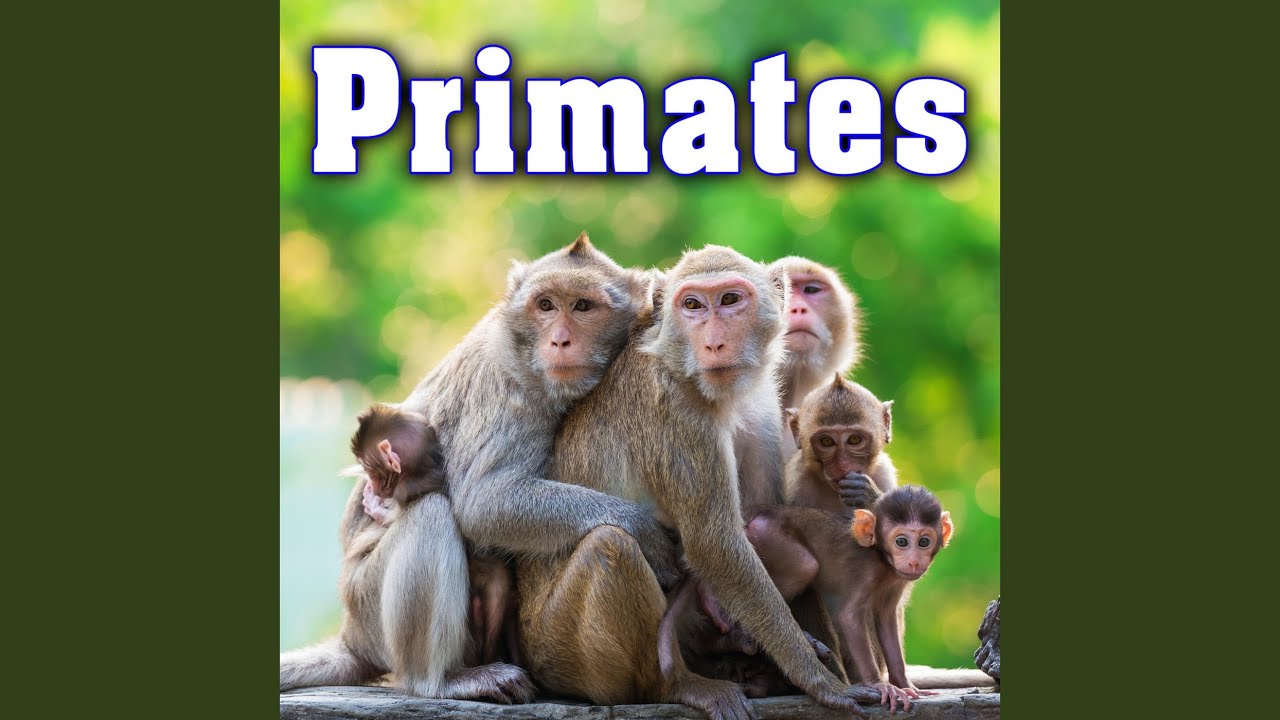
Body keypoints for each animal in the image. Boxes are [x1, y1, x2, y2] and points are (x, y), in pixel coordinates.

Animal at [282, 233, 677, 702]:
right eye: (545, 305)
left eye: (583, 306)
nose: (560, 341)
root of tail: (351, 635)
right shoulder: (508, 391)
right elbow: (483, 503)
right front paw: (647, 533)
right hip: (368, 605)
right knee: (432, 515)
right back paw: (438, 681)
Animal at [516, 246, 883, 720]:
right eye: (691, 305)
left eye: (729, 300)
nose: (712, 343)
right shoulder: (677, 413)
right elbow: (716, 545)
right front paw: (820, 681)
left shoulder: (764, 404)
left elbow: (770, 522)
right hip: (558, 652)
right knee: (611, 547)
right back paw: (678, 686)